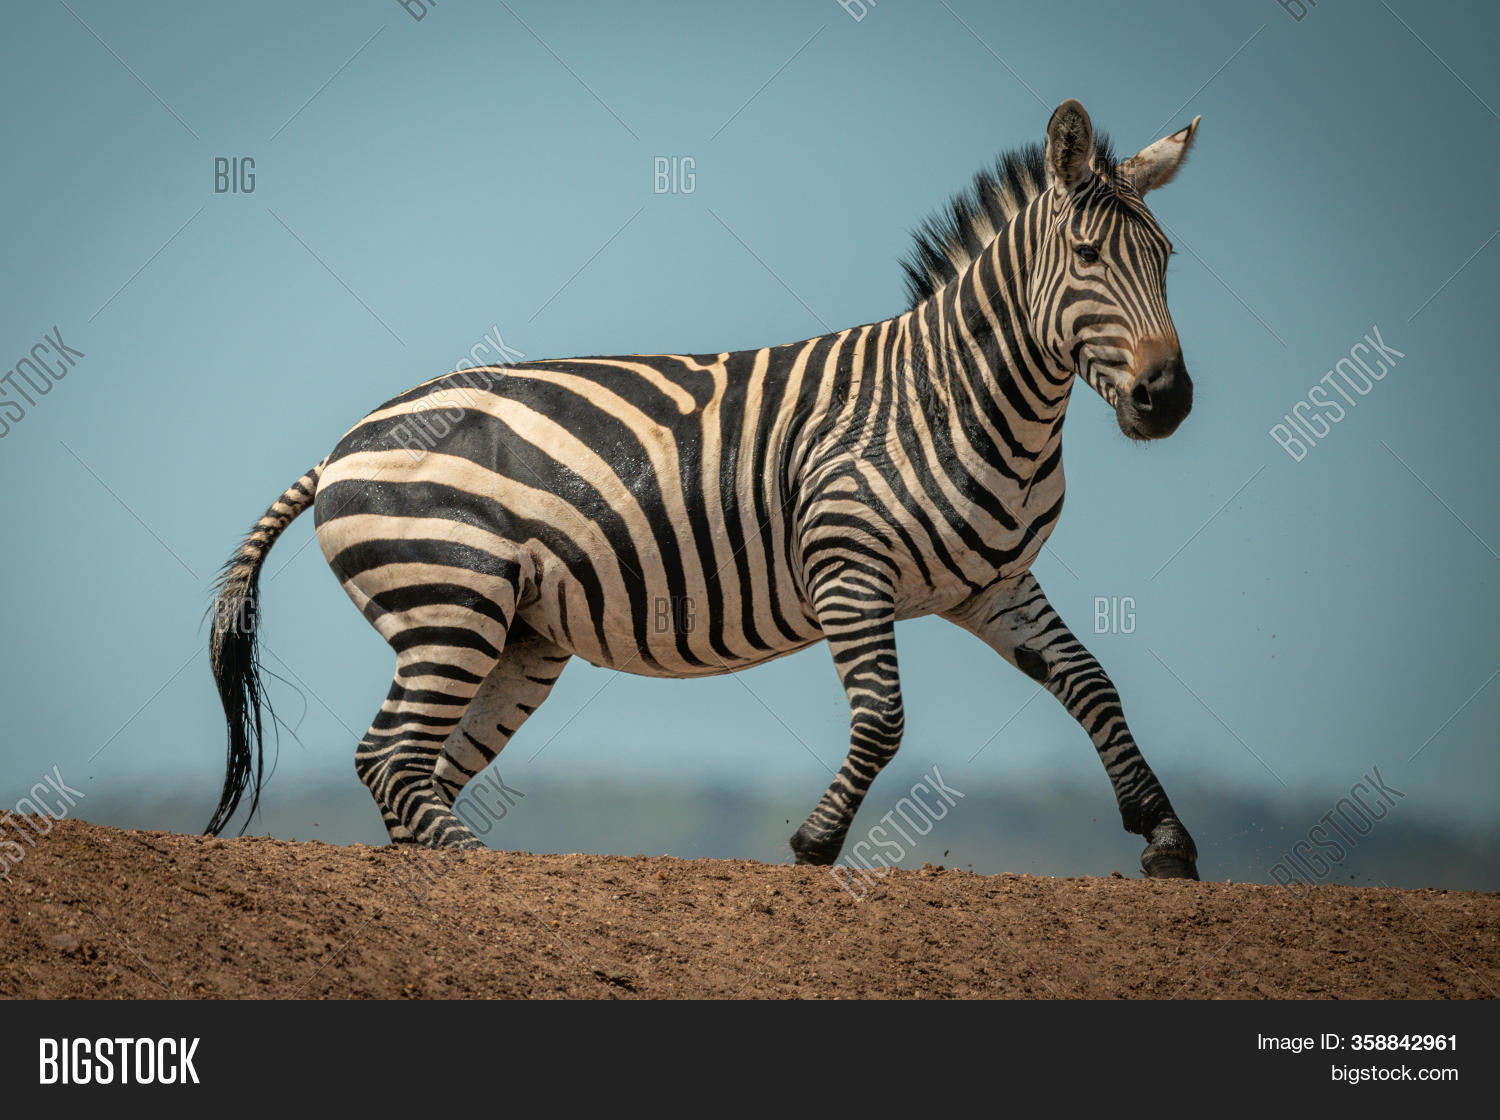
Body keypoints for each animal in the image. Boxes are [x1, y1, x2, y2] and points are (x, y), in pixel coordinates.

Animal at [207, 98, 1204, 879]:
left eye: (1167, 259)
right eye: (1086, 256)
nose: (1168, 400)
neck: (955, 398)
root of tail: (342, 445)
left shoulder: (994, 584)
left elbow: (1092, 684)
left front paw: (1166, 839)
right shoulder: (847, 567)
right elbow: (884, 720)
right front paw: (813, 844)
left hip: (514, 638)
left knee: (420, 770)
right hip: (449, 603)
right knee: (389, 758)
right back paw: (476, 865)